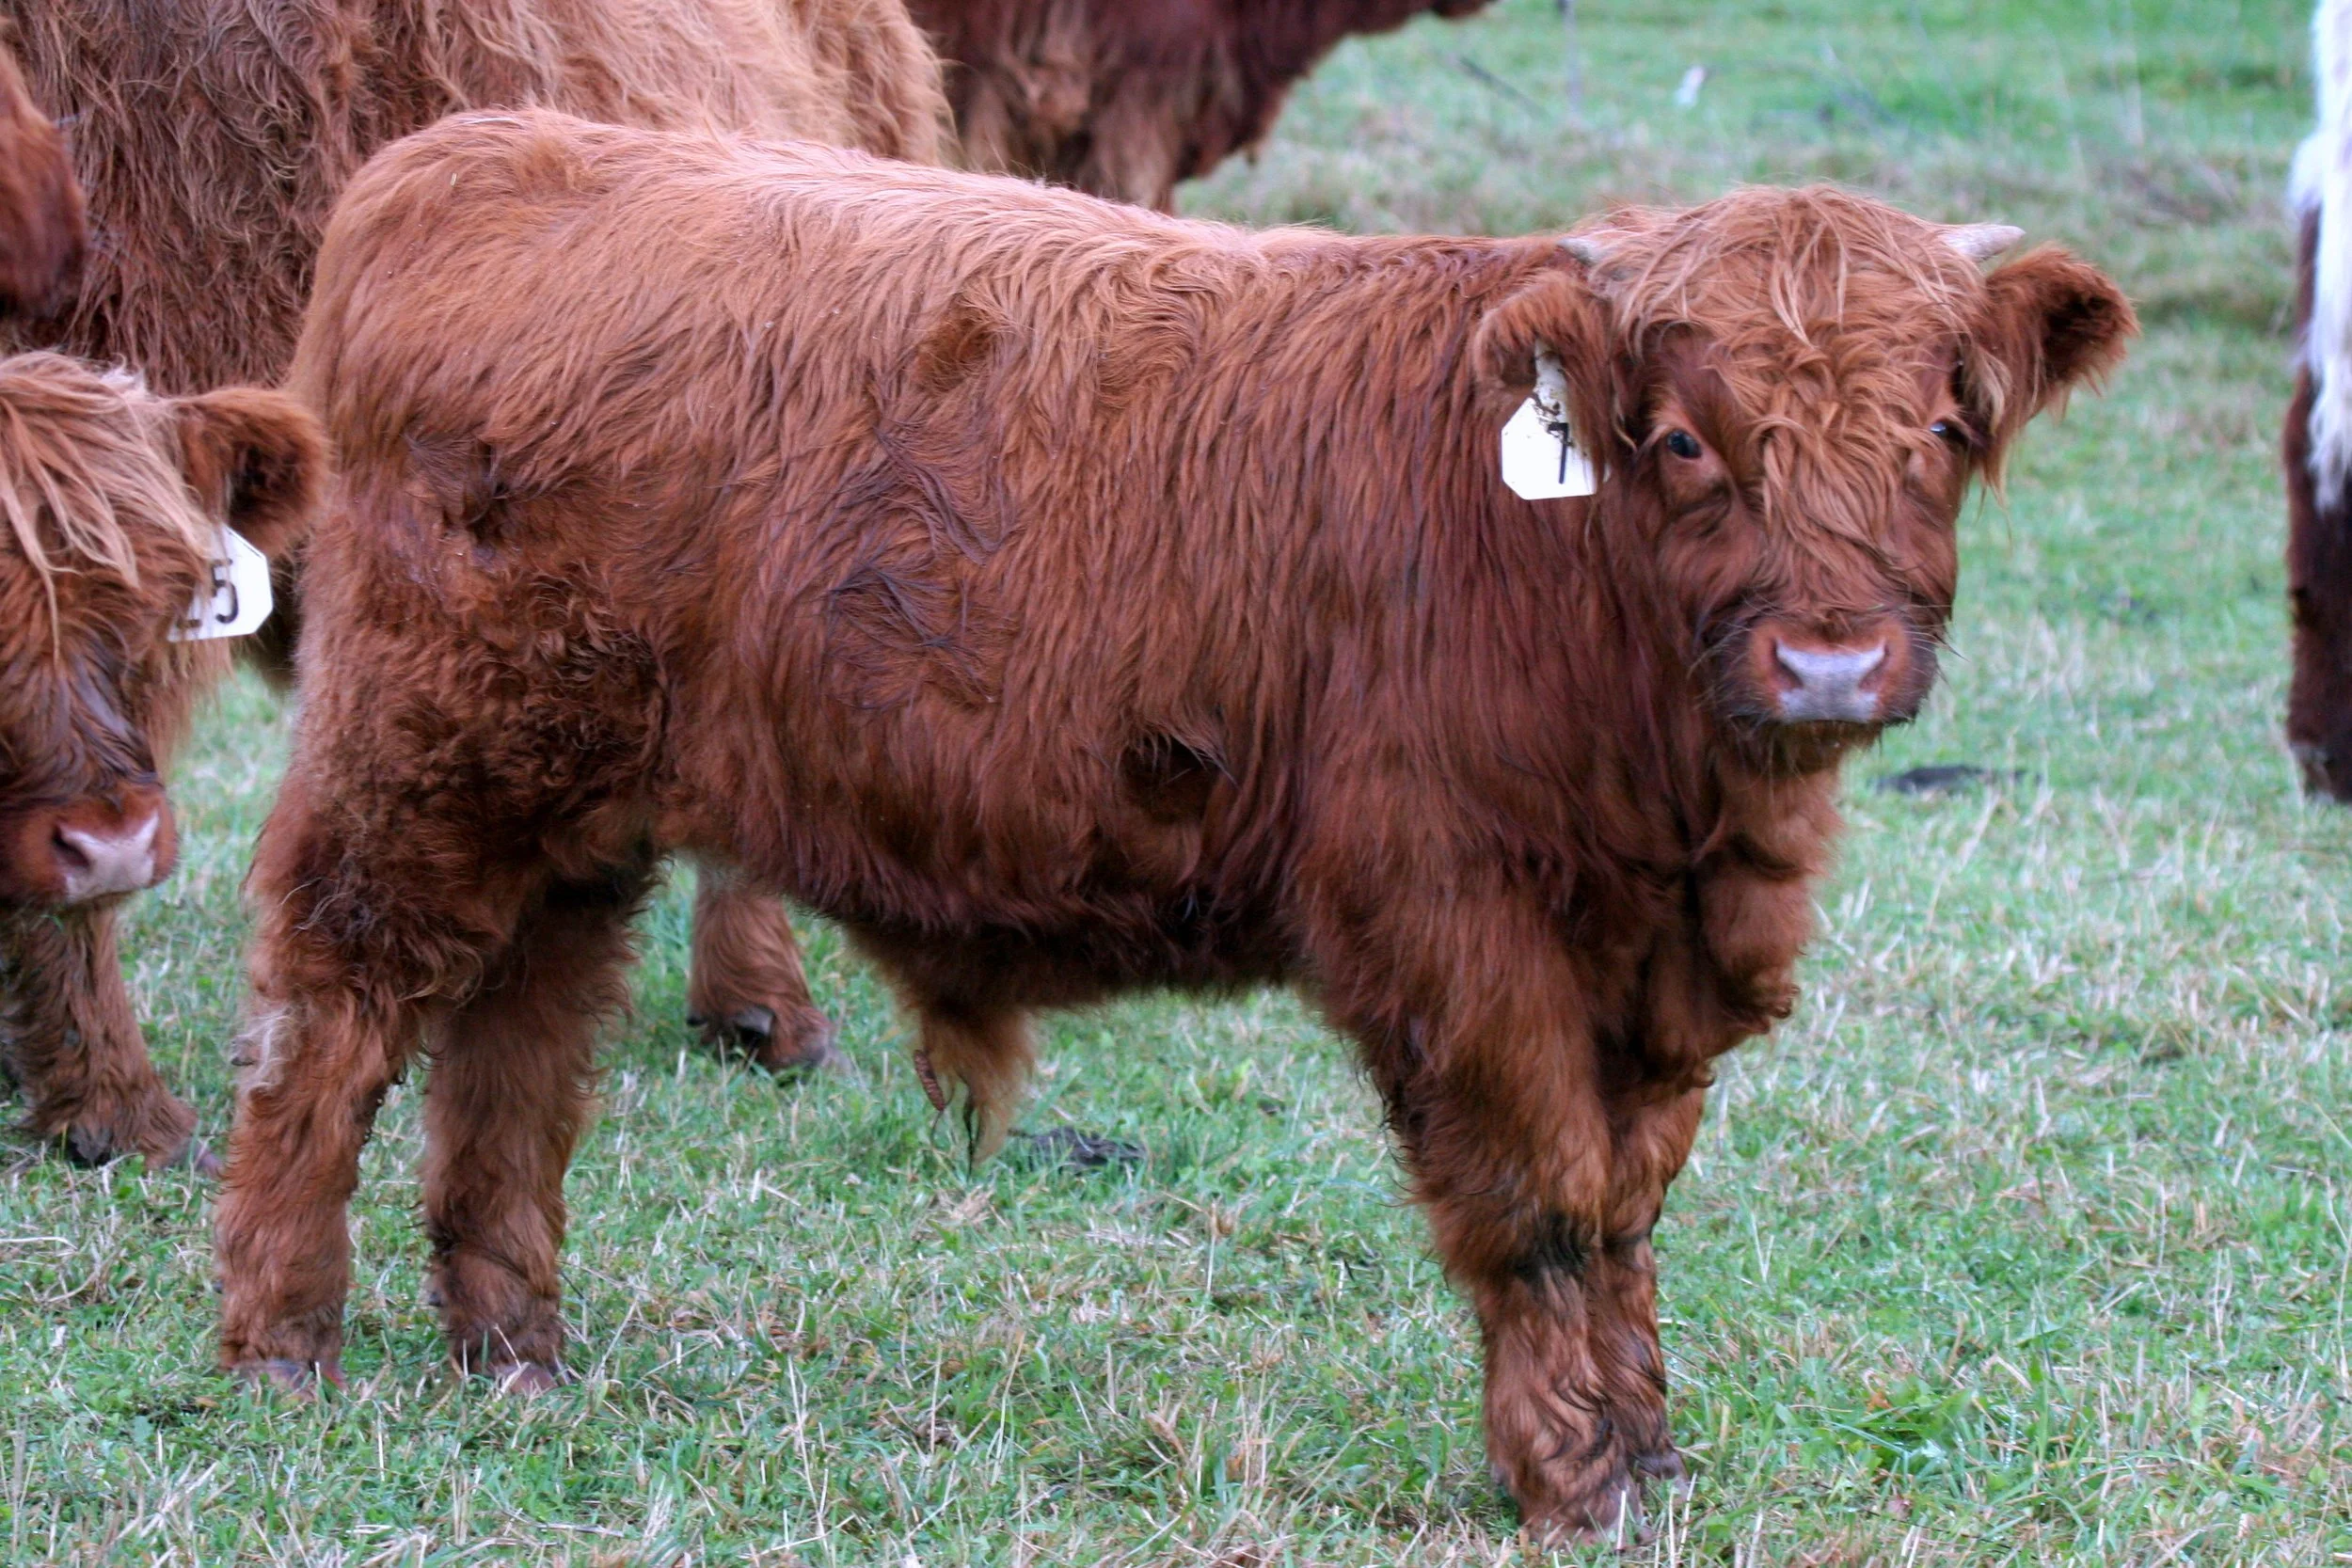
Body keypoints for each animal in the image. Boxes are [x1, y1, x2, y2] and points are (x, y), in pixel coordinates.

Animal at [214, 112, 2133, 1539]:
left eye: (1942, 426)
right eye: (1678, 440)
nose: (1832, 657)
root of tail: (478, 152)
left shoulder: (1653, 971)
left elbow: (1630, 1202)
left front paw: (1649, 1446)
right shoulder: (1454, 928)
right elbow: (1542, 1201)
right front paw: (1574, 1475)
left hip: (572, 797)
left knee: (520, 1041)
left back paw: (513, 1346)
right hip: (422, 761)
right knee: (334, 1013)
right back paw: (286, 1337)